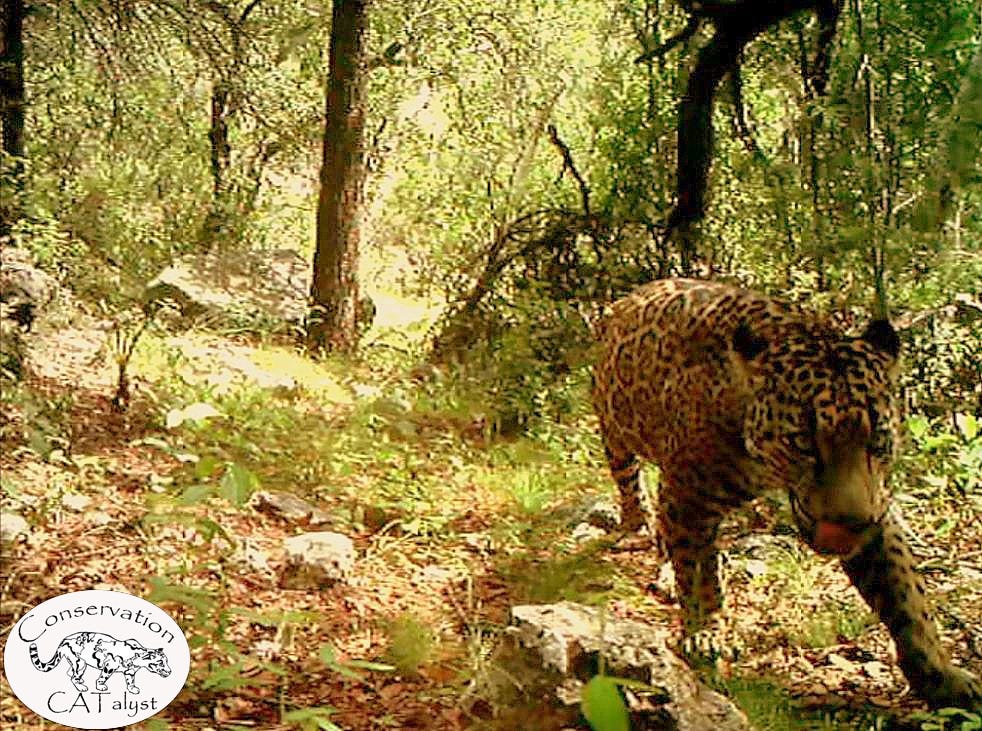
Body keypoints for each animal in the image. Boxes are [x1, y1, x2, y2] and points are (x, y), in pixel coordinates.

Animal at [30, 631, 172, 695]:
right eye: (160, 662)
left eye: (167, 661)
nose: (170, 671)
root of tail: (64, 640)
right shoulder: (109, 667)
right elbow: (103, 678)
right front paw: (100, 687)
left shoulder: (130, 672)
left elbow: (130, 681)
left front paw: (132, 689)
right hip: (79, 663)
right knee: (73, 676)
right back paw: (81, 687)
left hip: (79, 664)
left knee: (70, 673)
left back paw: (81, 681)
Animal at [592, 277, 981, 709]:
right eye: (804, 442)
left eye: (876, 440)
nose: (849, 526)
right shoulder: (689, 497)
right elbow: (698, 574)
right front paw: (705, 637)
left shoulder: (876, 510)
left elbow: (906, 597)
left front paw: (942, 676)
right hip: (615, 430)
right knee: (632, 486)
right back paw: (633, 528)